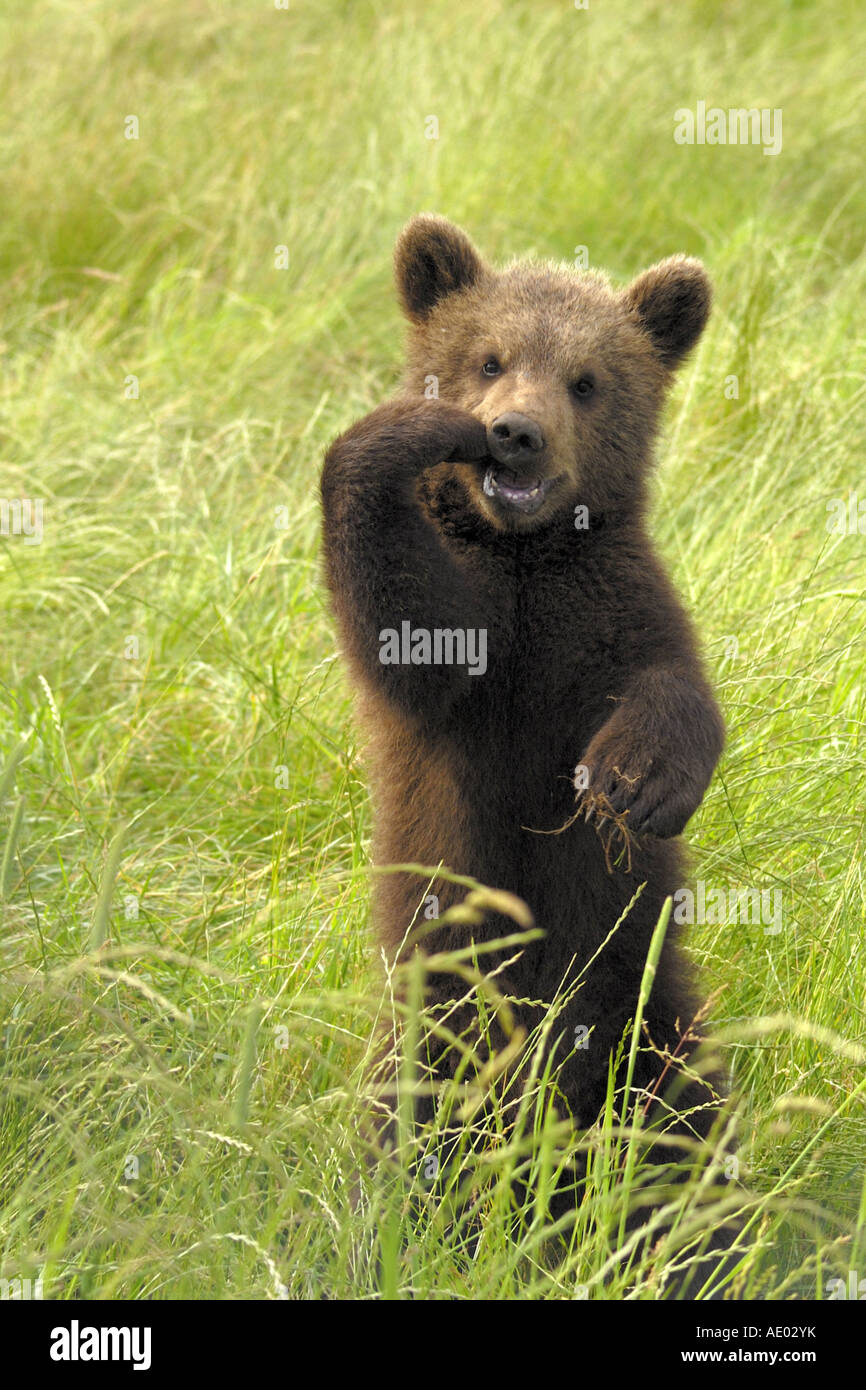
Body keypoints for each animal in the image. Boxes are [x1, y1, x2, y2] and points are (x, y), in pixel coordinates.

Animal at [320, 215, 735, 1293]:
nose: (516, 431)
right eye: (488, 357)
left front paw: (634, 780)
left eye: (586, 379)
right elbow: (409, 620)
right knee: (416, 1136)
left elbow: (672, 687)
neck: (526, 552)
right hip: (436, 1025)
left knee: (680, 1136)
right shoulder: (471, 663)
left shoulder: (608, 608)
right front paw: (395, 440)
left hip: (645, 1012)